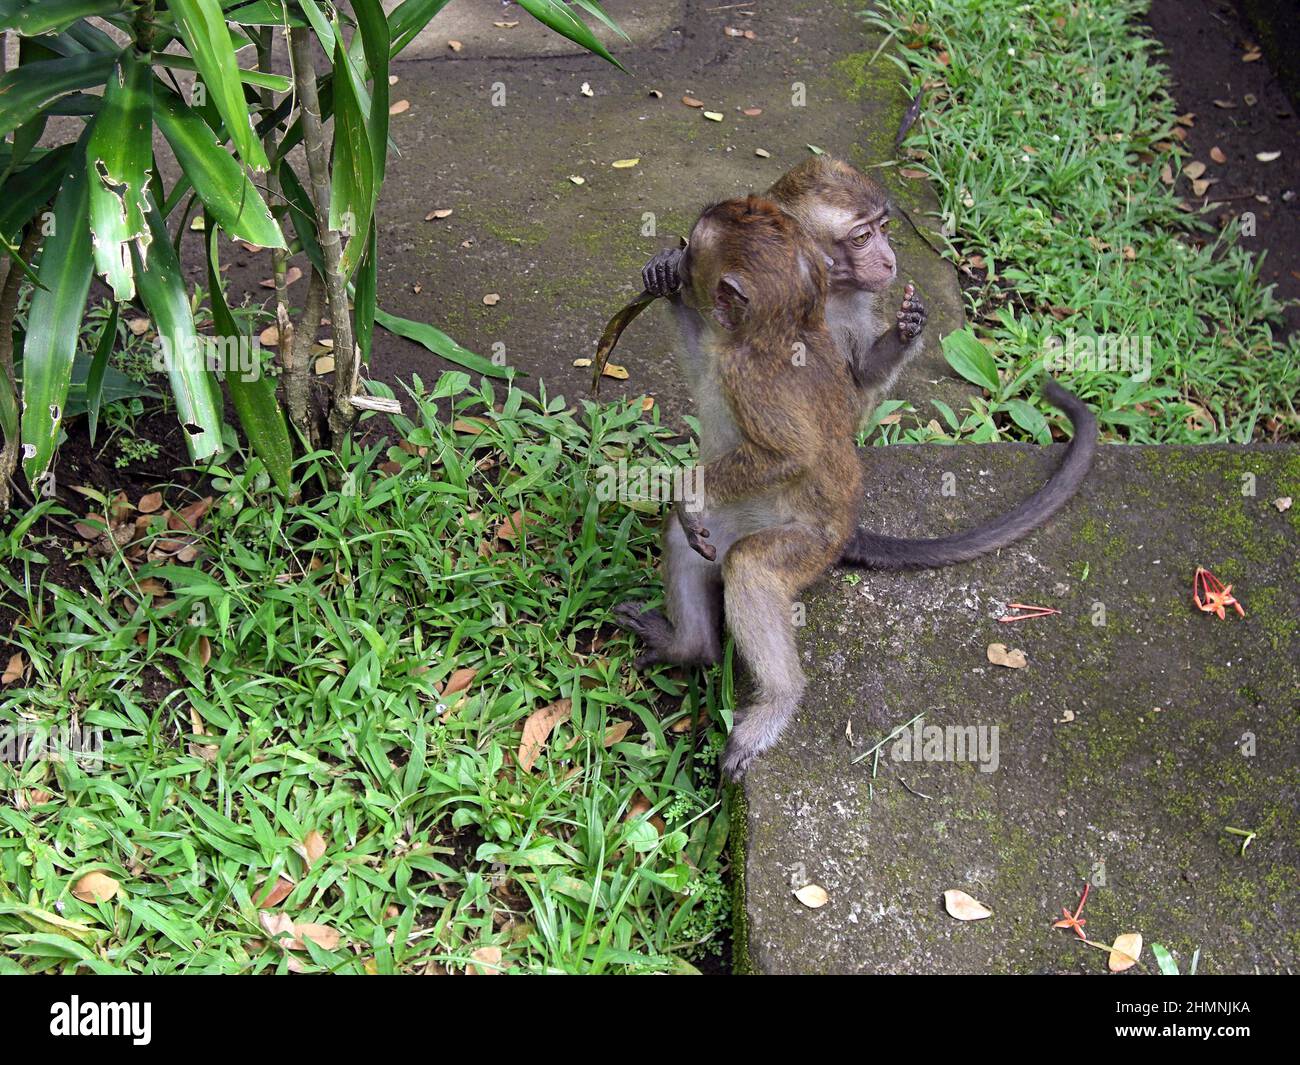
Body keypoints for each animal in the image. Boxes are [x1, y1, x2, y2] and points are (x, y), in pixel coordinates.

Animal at [613, 196, 862, 779]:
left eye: (696, 258)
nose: (679, 263)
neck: (774, 330)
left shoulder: (748, 375)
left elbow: (789, 454)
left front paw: (685, 489)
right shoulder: (717, 349)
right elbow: (696, 351)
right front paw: (660, 272)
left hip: (809, 549)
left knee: (749, 566)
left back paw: (778, 702)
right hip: (733, 520)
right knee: (688, 541)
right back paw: (691, 649)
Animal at [638, 155, 1096, 570]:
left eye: (884, 228)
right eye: (862, 237)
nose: (890, 260)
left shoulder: (853, 297)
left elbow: (857, 376)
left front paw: (908, 326)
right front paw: (667, 265)